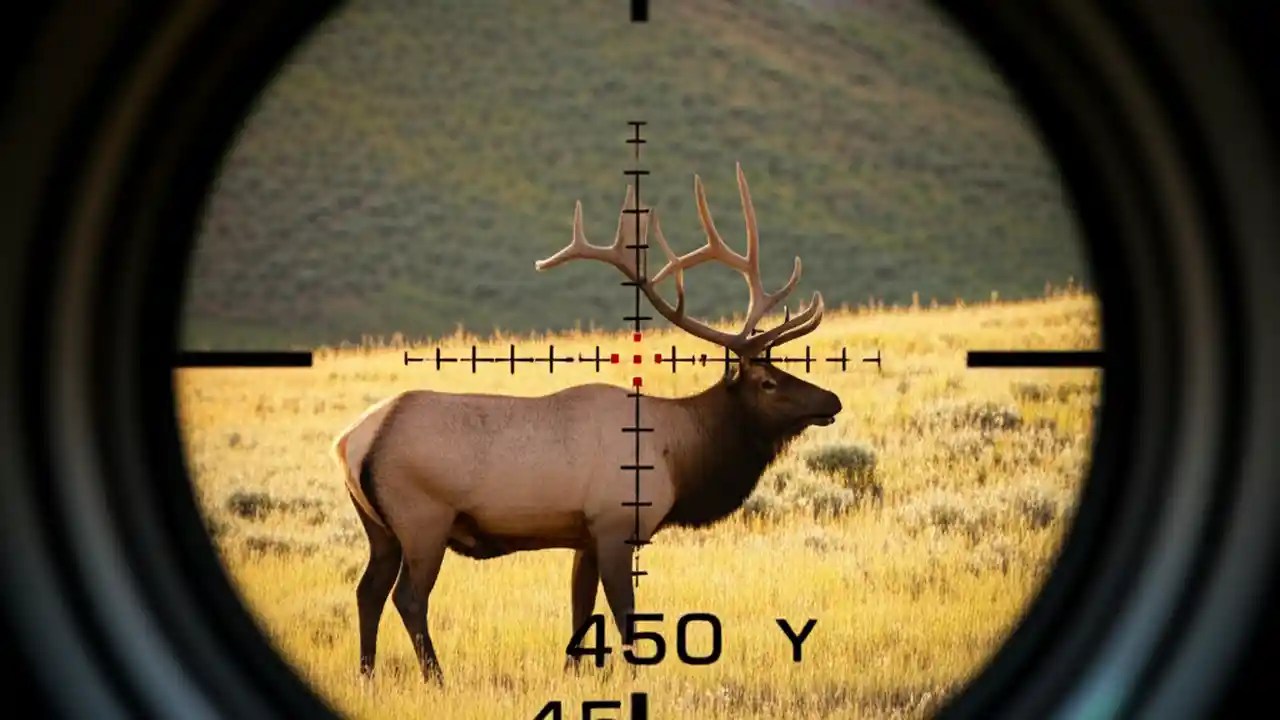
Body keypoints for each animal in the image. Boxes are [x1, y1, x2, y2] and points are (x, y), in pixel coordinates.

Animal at [333, 163, 842, 684]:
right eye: (767, 381)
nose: (833, 400)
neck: (678, 456)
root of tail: (352, 442)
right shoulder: (616, 523)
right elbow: (624, 613)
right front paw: (637, 673)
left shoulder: (585, 535)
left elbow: (581, 608)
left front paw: (574, 669)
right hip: (423, 517)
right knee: (408, 598)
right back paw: (435, 676)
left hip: (380, 528)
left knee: (367, 590)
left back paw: (366, 673)